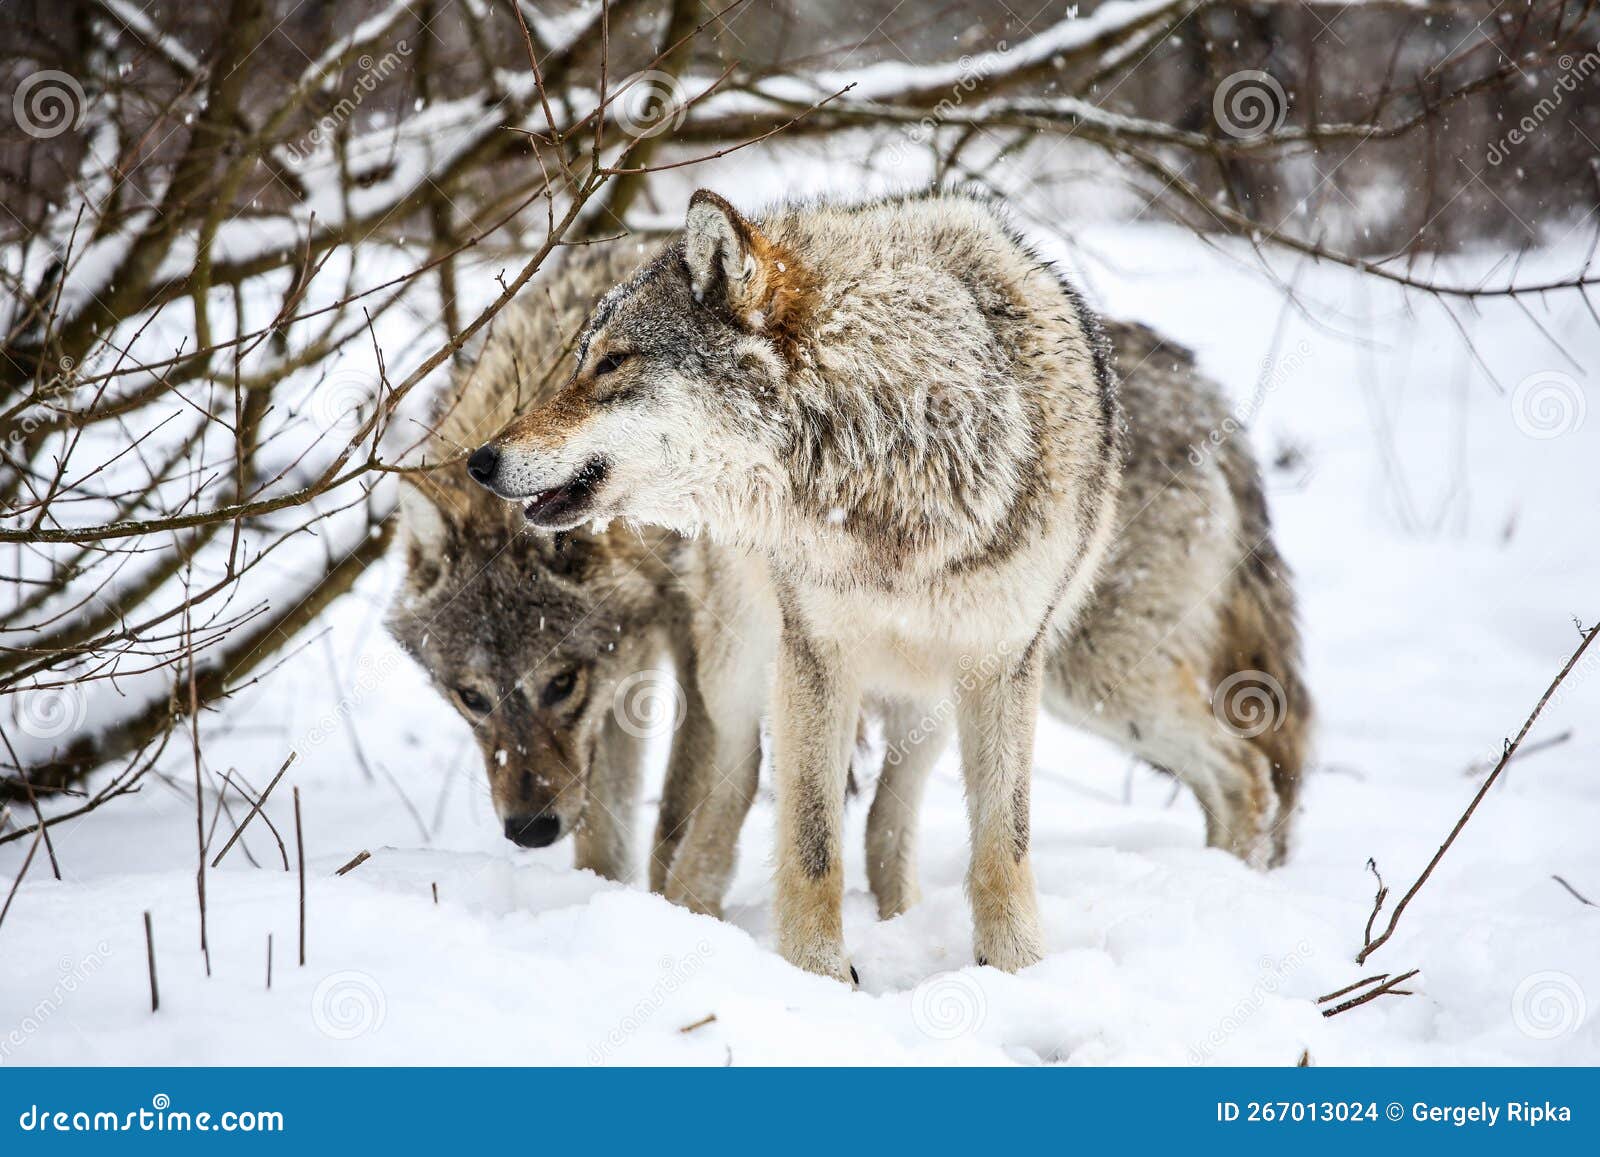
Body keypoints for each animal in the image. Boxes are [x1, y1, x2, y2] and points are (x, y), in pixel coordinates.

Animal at [465, 190, 1309, 981]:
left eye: (611, 363)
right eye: (582, 358)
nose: (480, 459)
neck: (902, 462)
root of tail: (1217, 410)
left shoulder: (1003, 661)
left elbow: (1002, 843)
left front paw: (1018, 970)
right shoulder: (817, 654)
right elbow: (812, 843)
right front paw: (817, 976)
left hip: (1057, 680)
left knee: (1240, 774)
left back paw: (1225, 888)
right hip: (751, 662)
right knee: (739, 789)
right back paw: (692, 919)